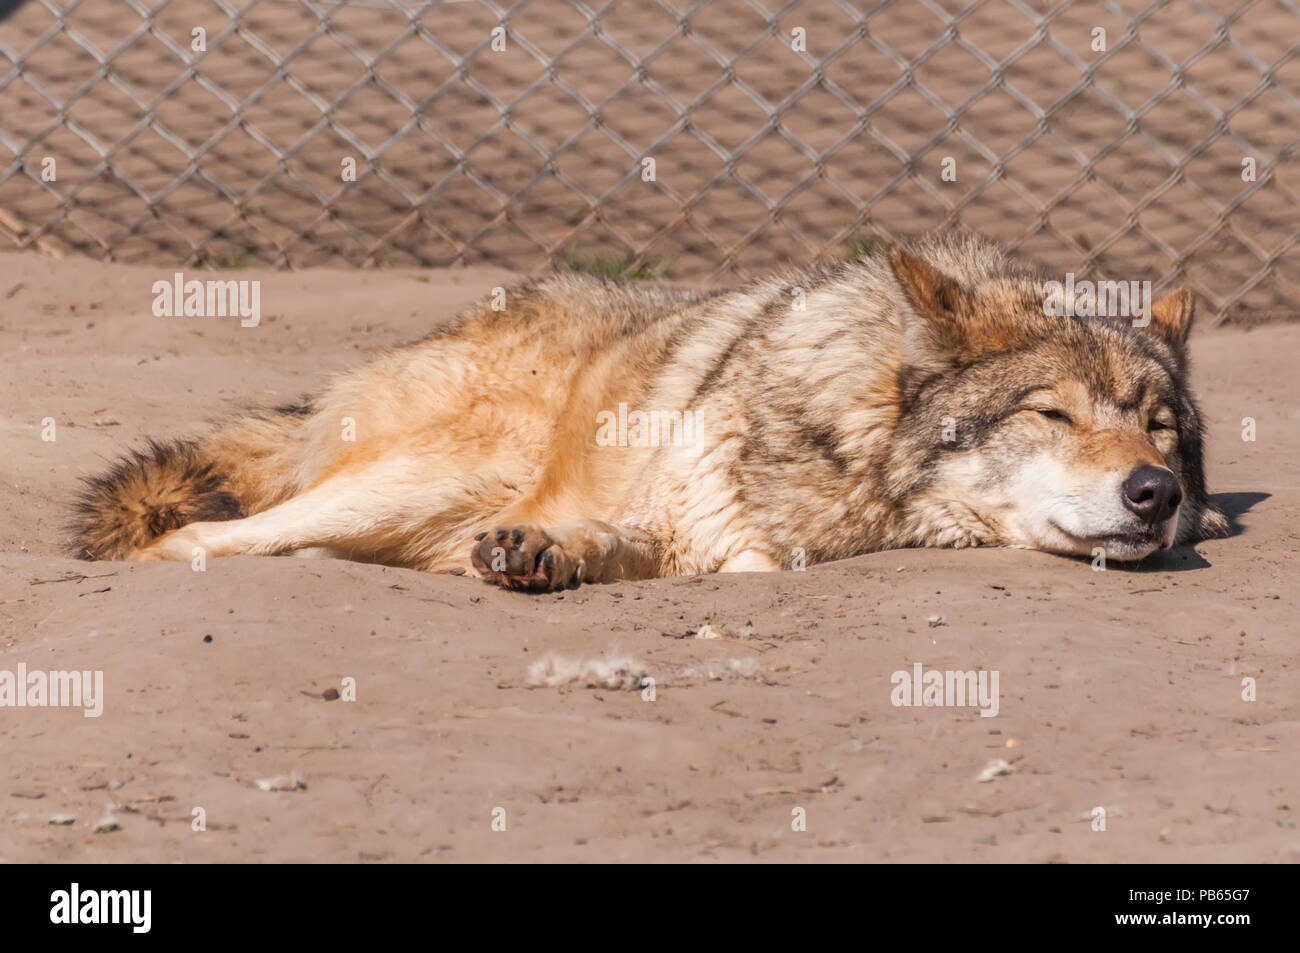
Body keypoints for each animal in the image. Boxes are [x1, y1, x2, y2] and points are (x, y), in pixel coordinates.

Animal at [72, 233, 1227, 590]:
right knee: (196, 539)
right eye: (1053, 415)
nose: (1153, 492)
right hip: (440, 472)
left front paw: (545, 555)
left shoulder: (694, 536)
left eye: (1159, 425)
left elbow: (618, 547)